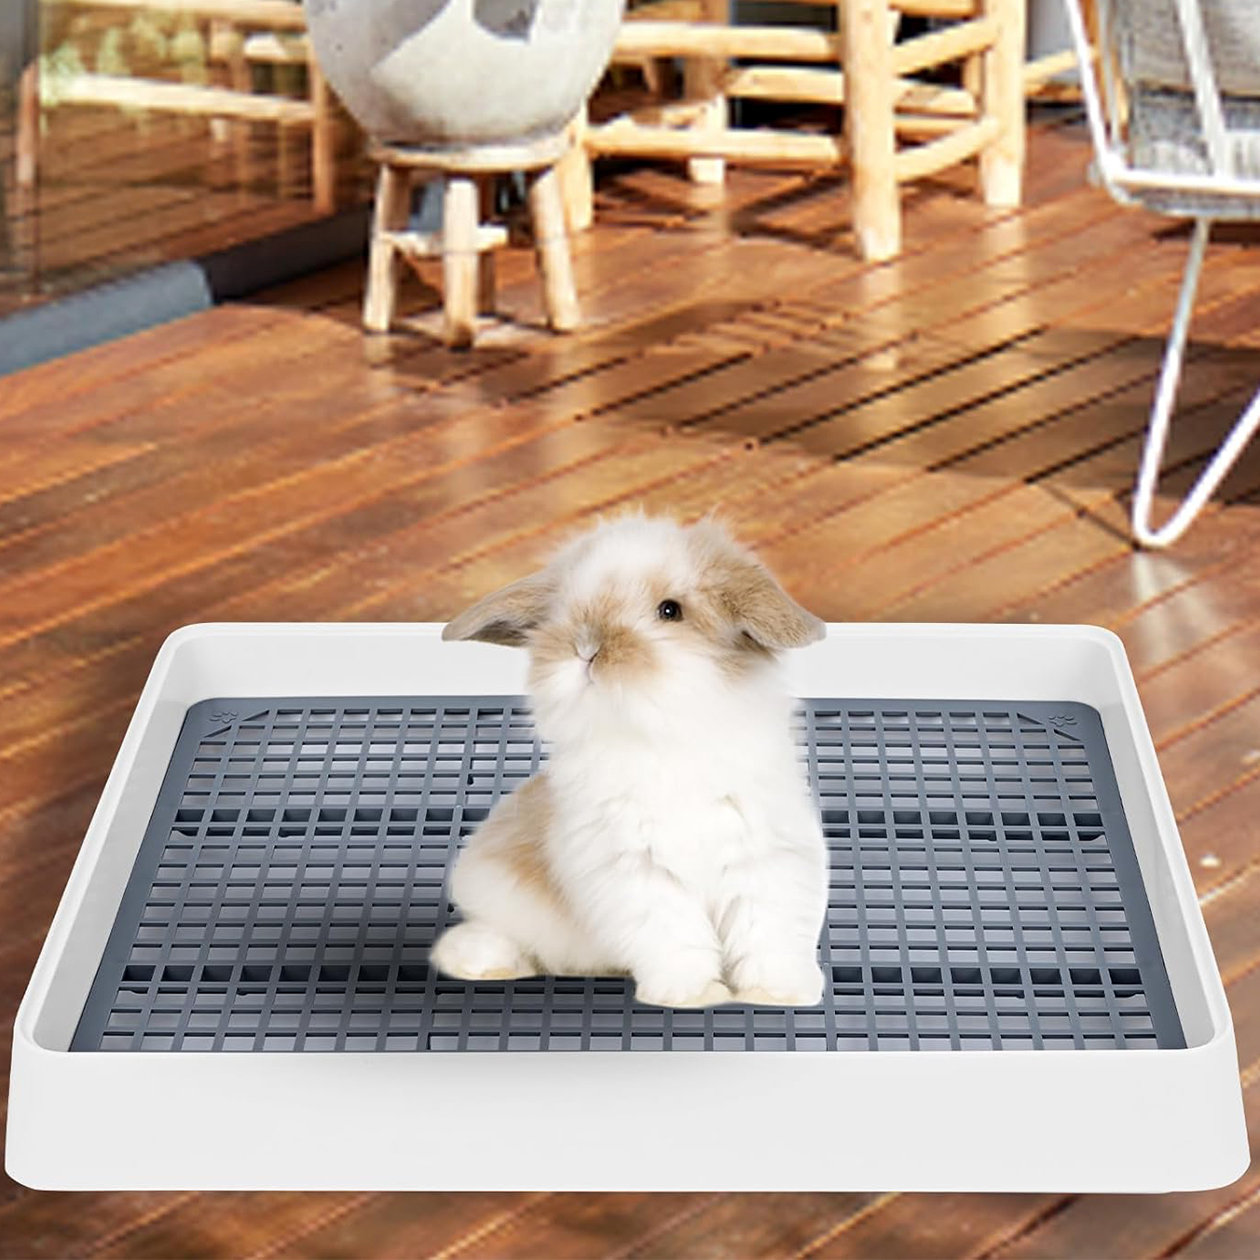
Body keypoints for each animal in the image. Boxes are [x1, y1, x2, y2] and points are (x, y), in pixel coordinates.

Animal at [430, 512, 829, 1008]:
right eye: (562, 612)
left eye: (670, 610)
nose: (586, 647)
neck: (658, 736)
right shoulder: (637, 874)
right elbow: (675, 937)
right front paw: (693, 995)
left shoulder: (766, 859)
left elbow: (767, 933)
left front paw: (778, 994)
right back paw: (486, 964)